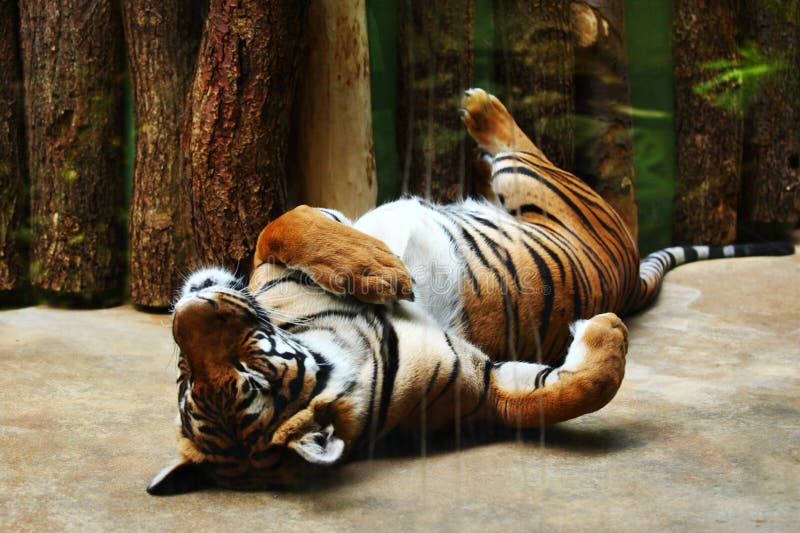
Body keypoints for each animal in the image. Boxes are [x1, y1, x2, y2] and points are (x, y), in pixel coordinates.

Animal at [147, 89, 794, 495]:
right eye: (190, 370)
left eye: (247, 366)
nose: (187, 308)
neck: (345, 347)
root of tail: (632, 268)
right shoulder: (483, 388)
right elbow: (574, 390)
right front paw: (600, 328)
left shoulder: (277, 255)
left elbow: (281, 223)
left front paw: (378, 268)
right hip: (534, 182)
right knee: (519, 149)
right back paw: (482, 108)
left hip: (526, 184)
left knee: (516, 145)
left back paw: (478, 105)